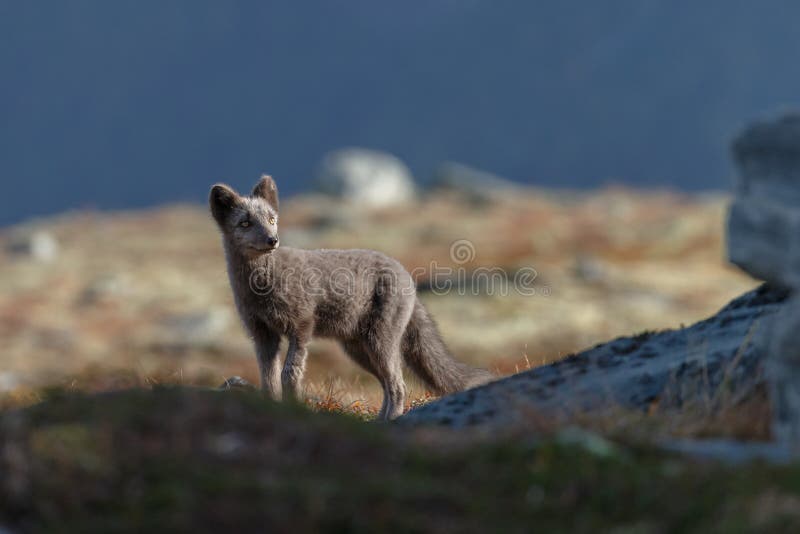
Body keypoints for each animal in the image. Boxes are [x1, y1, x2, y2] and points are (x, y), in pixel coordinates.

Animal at [209, 175, 493, 419]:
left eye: (271, 219)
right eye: (245, 223)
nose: (272, 240)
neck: (261, 285)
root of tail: (407, 275)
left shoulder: (301, 327)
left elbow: (289, 374)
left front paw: (293, 405)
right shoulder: (262, 334)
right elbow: (268, 379)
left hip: (380, 342)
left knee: (398, 385)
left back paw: (391, 422)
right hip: (358, 349)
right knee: (387, 385)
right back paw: (380, 421)